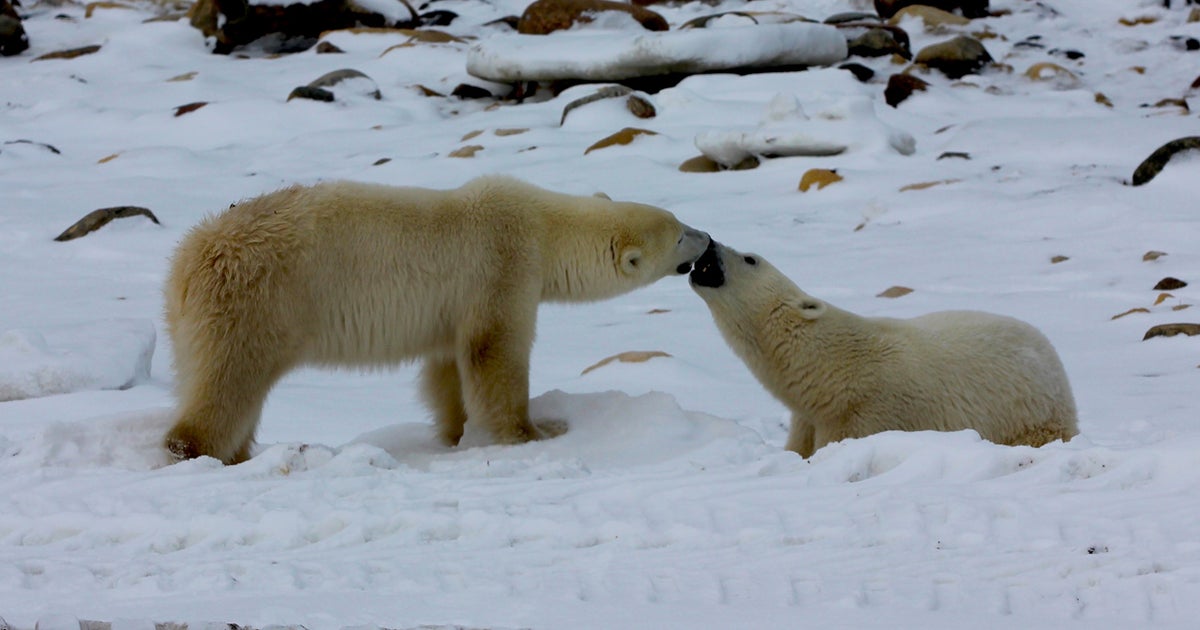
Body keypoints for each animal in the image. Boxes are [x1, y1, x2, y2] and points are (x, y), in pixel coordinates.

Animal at [163, 176, 711, 464]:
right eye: (679, 234)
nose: (708, 238)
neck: (542, 226)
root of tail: (188, 259)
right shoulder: (502, 265)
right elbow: (495, 353)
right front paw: (536, 432)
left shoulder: (455, 305)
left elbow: (448, 368)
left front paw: (456, 434)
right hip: (254, 304)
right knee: (228, 383)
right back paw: (196, 449)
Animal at [689, 242, 1078, 458]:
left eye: (750, 258)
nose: (709, 244)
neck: (832, 373)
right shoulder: (808, 420)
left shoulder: (870, 416)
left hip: (1031, 418)